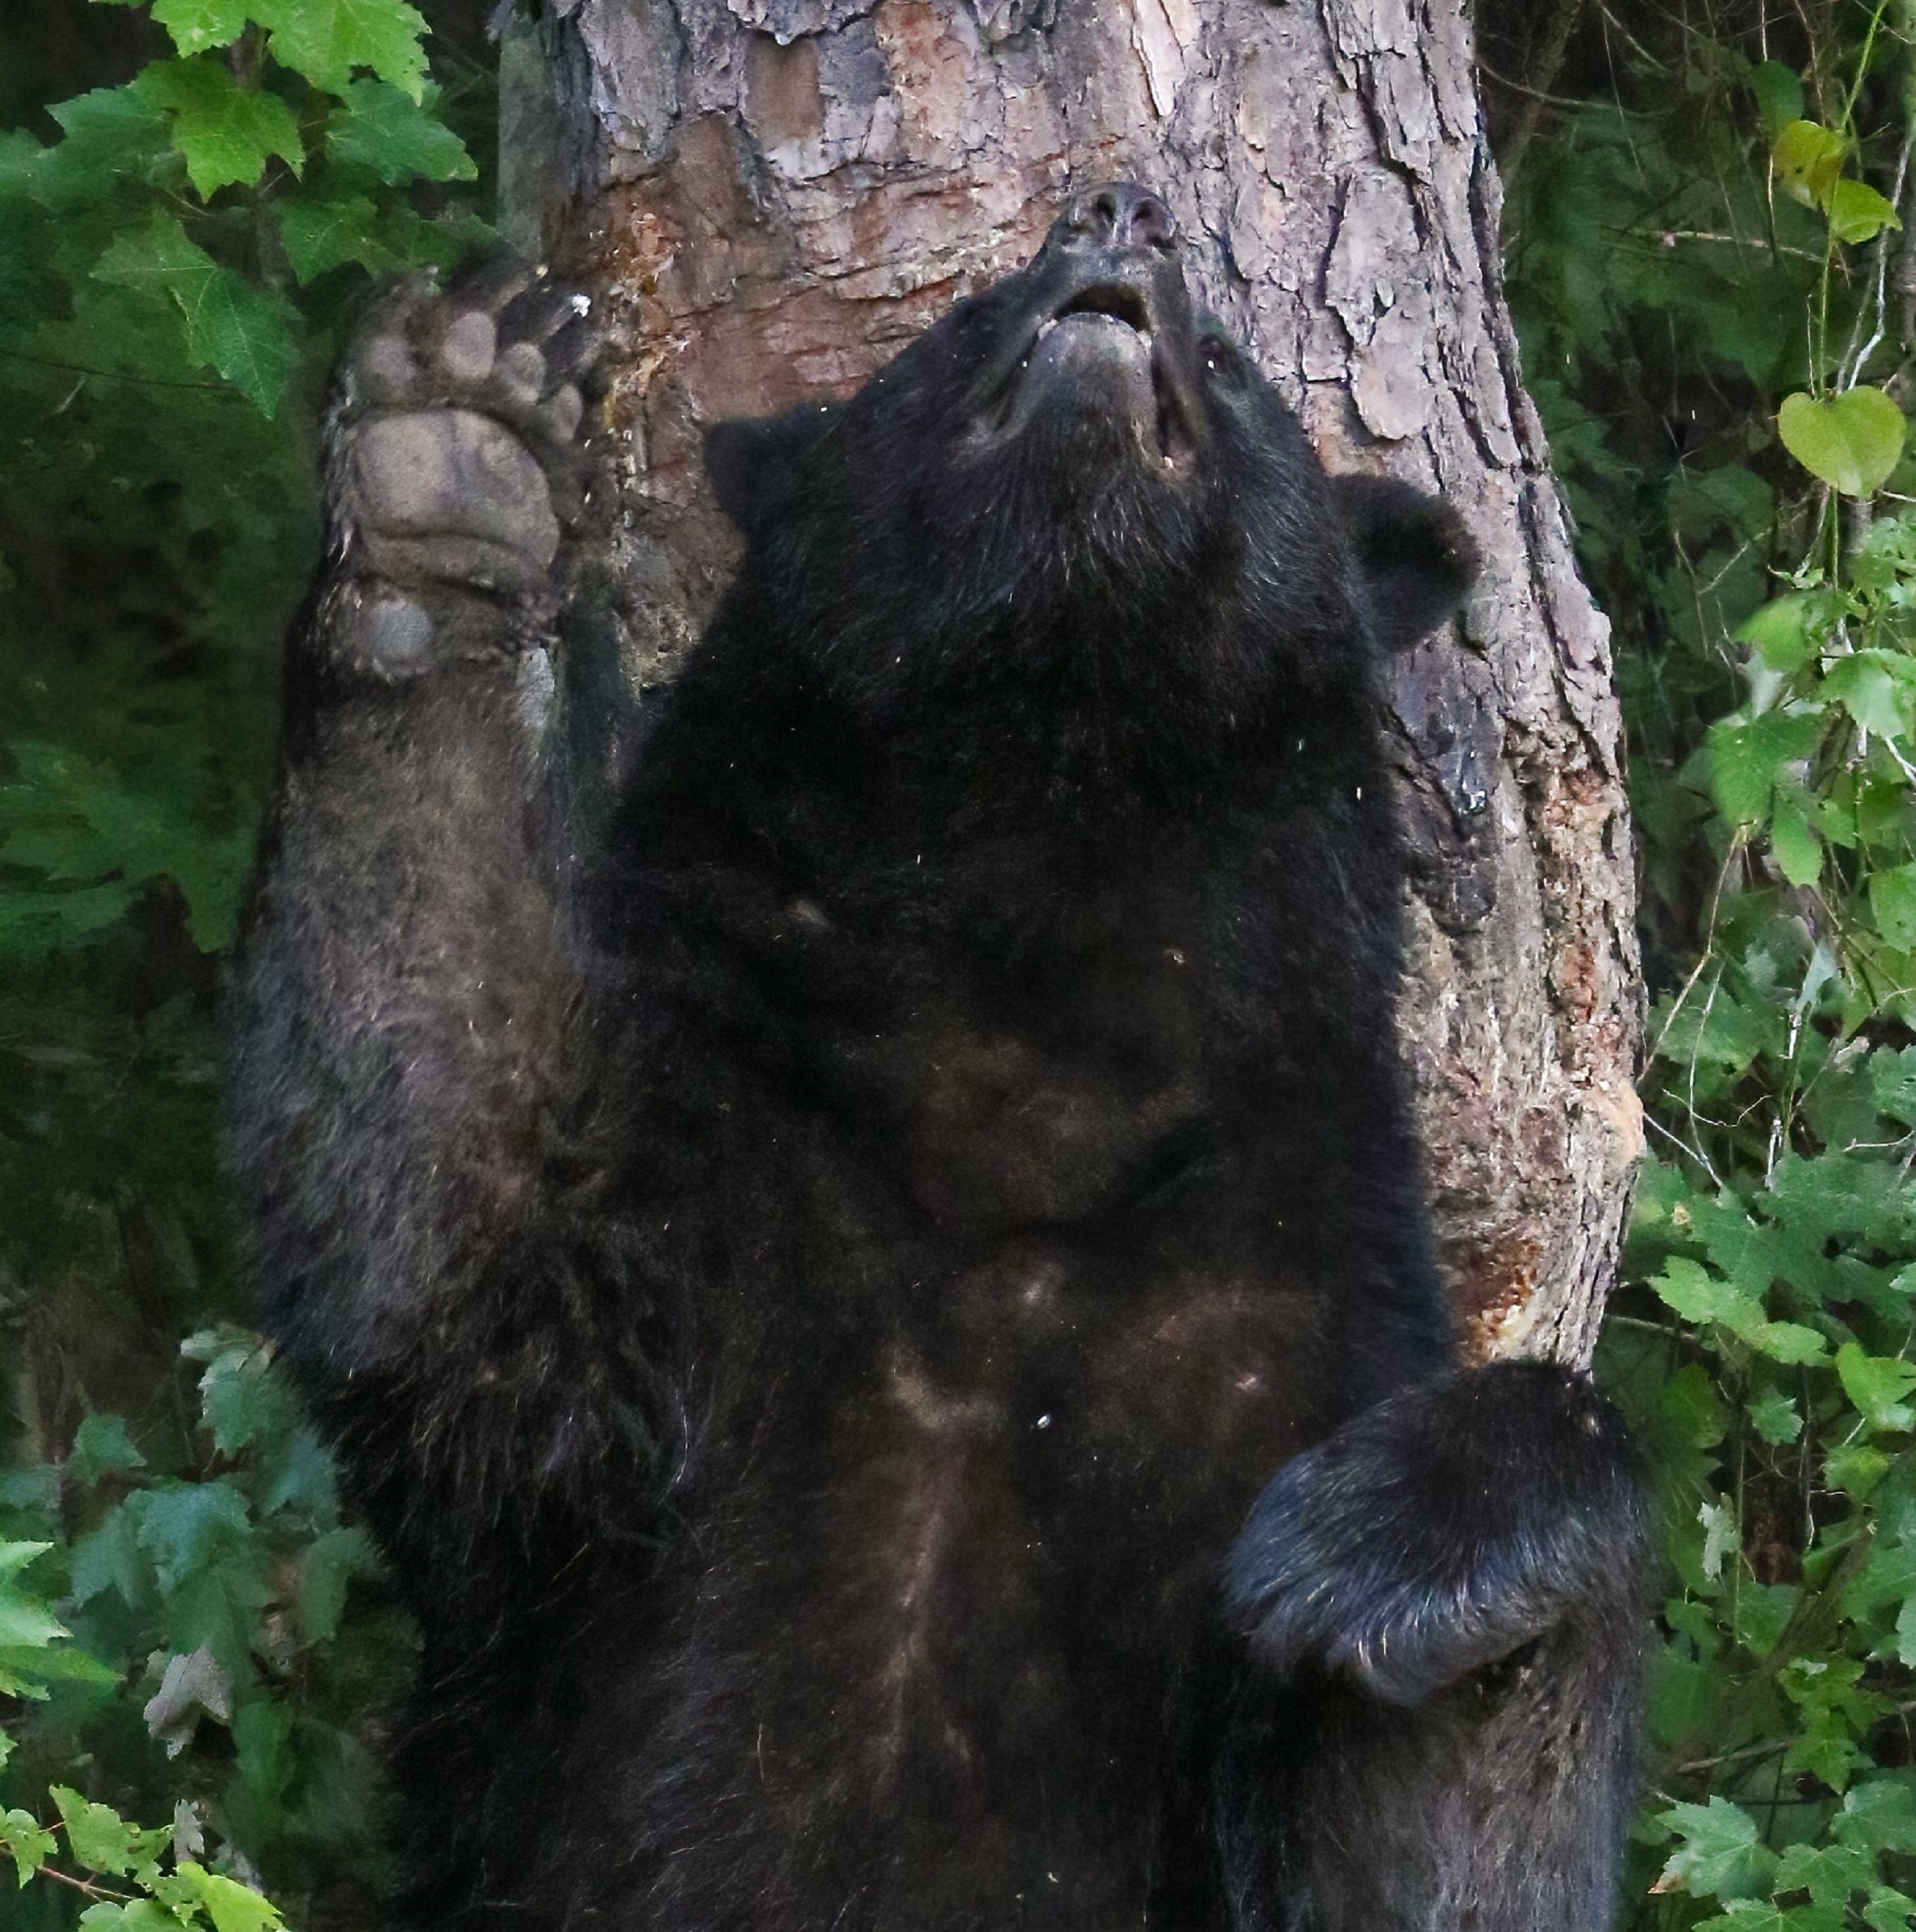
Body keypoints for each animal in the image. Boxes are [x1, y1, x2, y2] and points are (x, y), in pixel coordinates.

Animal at [231, 182, 1650, 1931]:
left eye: (1234, 363)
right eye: (960, 321)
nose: (1117, 215)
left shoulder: (1289, 1283)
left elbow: (1428, 1859)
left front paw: (1393, 1548)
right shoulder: (710, 1211)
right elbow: (442, 1177)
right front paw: (457, 438)